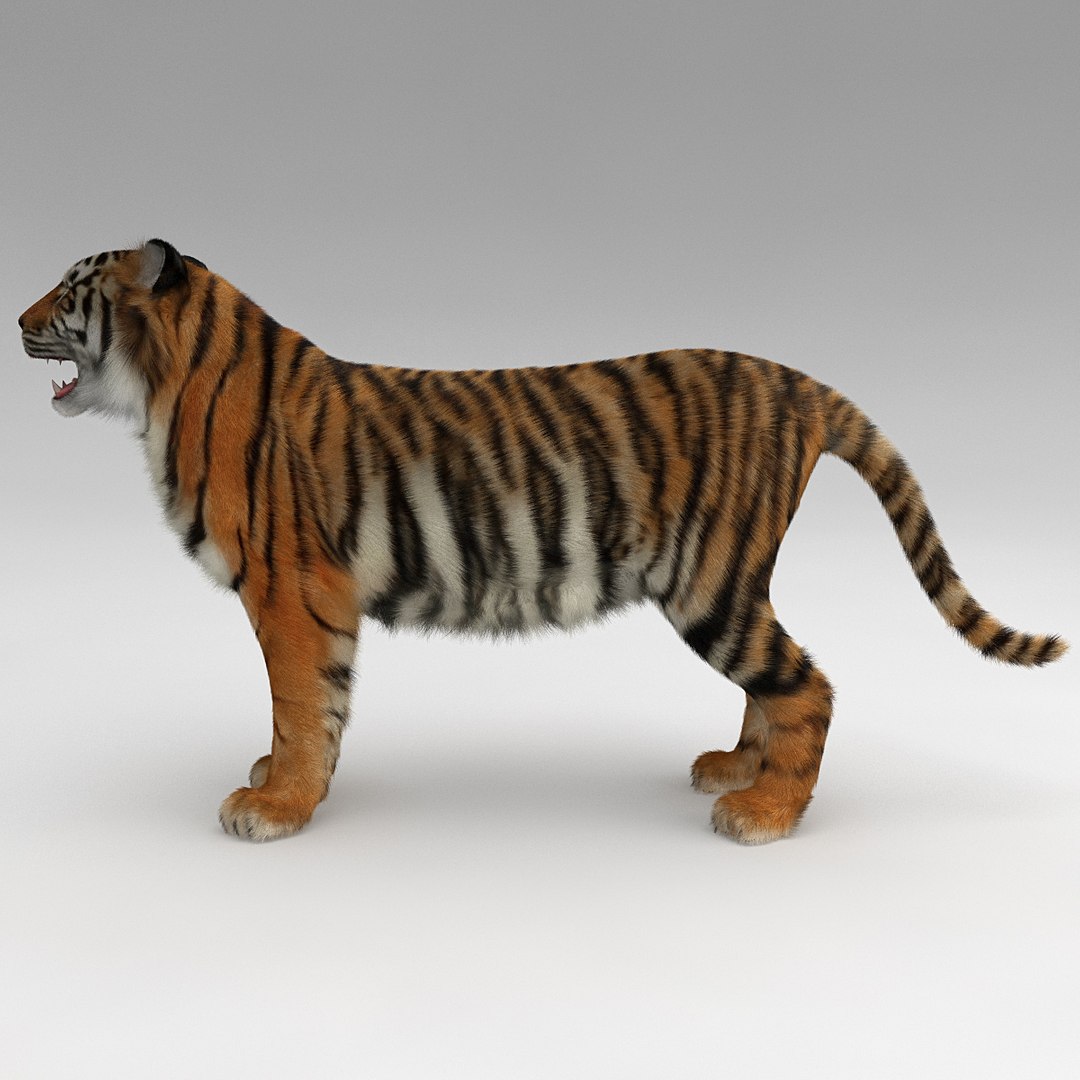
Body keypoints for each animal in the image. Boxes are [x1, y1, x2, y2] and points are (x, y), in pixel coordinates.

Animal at [19, 239, 1067, 844]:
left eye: (69, 290)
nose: (18, 320)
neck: (164, 385)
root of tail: (801, 383)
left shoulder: (290, 594)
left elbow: (299, 704)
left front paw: (275, 808)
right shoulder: (312, 601)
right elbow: (312, 709)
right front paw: (279, 784)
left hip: (709, 582)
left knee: (806, 683)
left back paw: (765, 812)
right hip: (734, 581)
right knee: (776, 681)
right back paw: (739, 768)